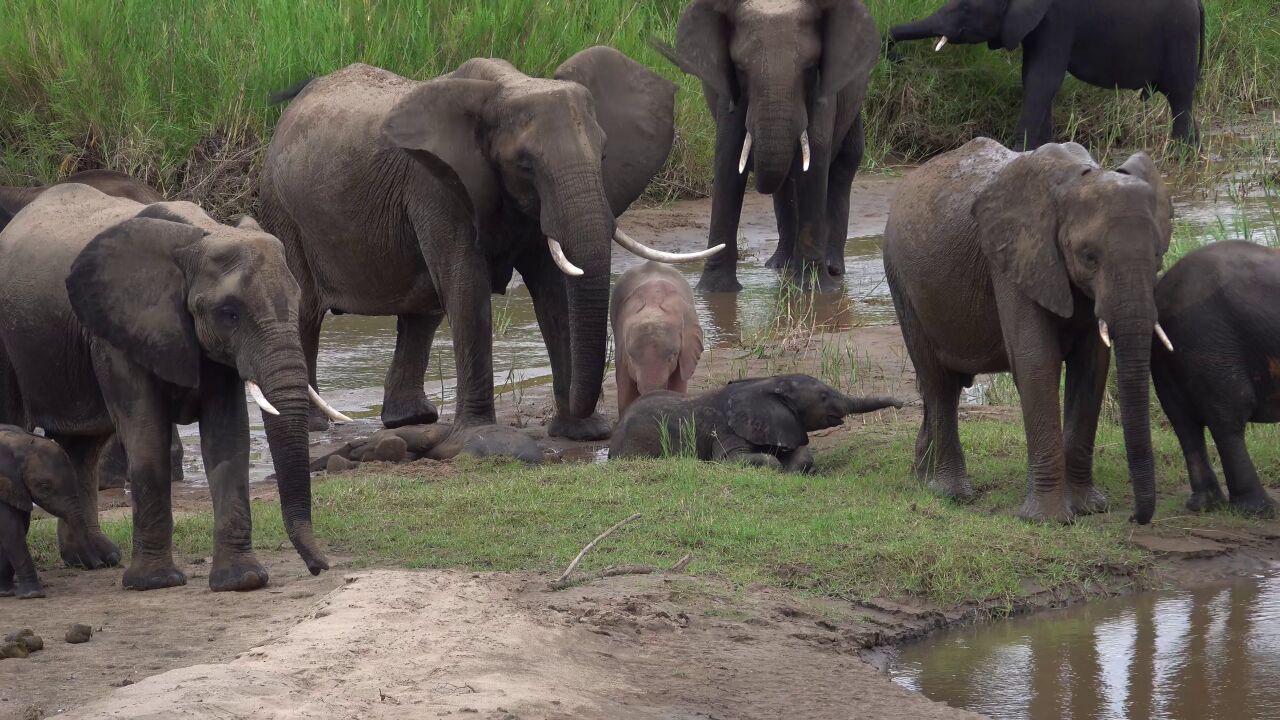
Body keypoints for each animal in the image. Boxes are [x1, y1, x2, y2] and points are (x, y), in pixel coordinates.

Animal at [0, 425, 85, 599]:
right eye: (44, 486)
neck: (19, 441)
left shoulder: (17, 487)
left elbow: (18, 527)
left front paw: (7, 592)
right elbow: (11, 530)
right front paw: (32, 595)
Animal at [609, 374, 901, 472]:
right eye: (823, 397)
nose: (901, 404)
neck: (768, 382)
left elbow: (802, 455)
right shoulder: (726, 430)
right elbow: (732, 459)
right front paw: (778, 469)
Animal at [653, 0, 882, 293]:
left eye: (810, 67)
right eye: (740, 68)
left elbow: (816, 155)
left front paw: (814, 290)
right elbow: (728, 155)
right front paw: (712, 292)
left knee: (844, 165)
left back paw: (830, 268)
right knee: (787, 184)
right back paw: (780, 266)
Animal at [884, 138, 1173, 524]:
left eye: (1158, 255)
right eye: (1089, 257)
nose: (1135, 517)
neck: (1081, 178)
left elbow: (1092, 367)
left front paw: (1088, 508)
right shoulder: (1016, 256)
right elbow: (1036, 361)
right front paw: (1049, 520)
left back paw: (922, 479)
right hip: (902, 281)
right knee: (938, 383)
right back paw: (951, 494)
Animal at [889, 0, 1204, 149]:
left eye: (966, 8)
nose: (895, 57)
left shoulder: (1059, 19)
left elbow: (1043, 80)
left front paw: (1018, 152)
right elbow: (1032, 78)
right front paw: (1042, 150)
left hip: (1181, 34)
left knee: (1179, 99)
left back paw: (1179, 156)